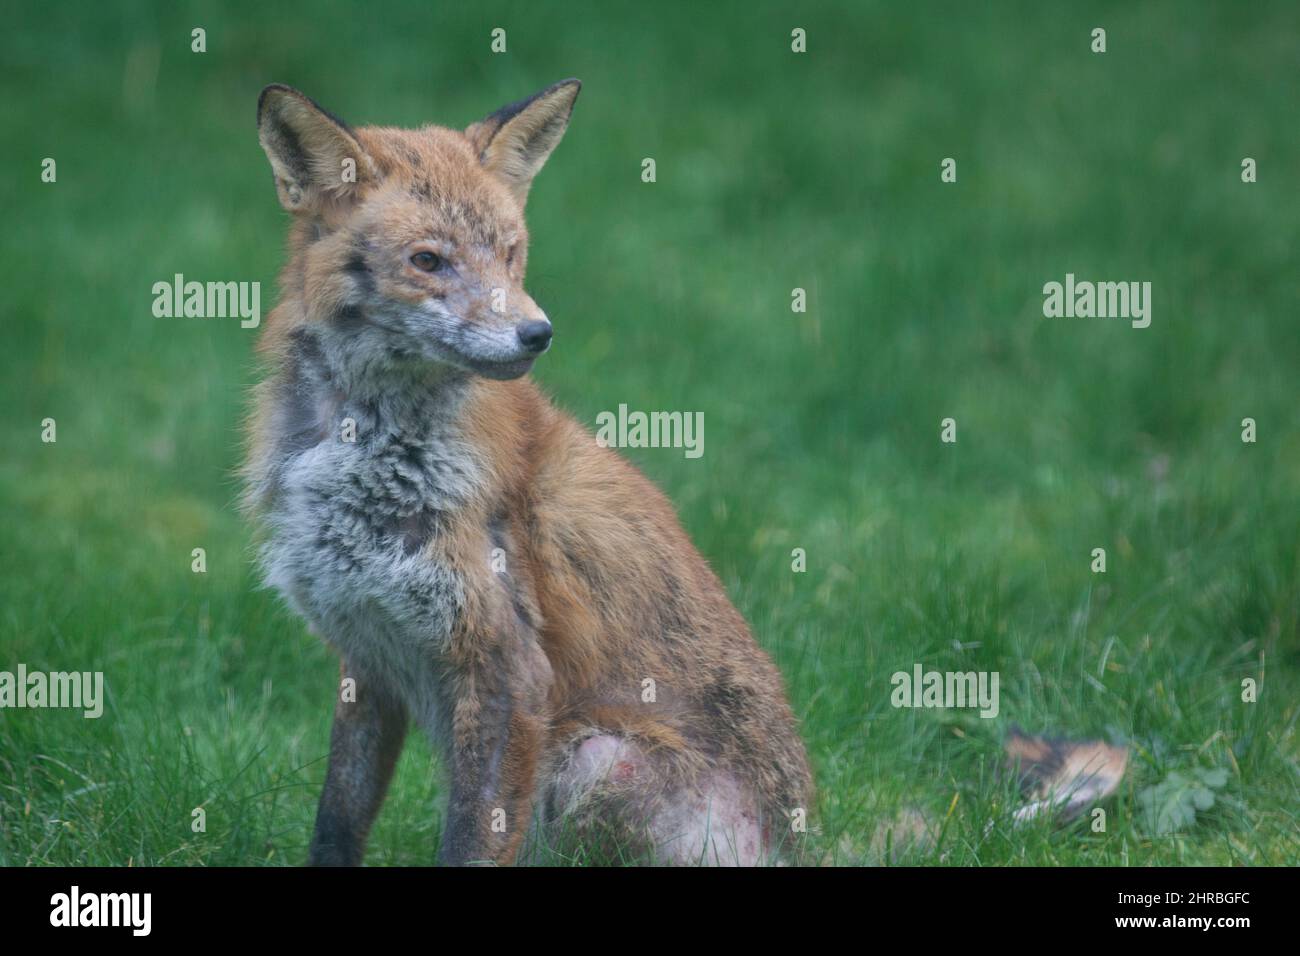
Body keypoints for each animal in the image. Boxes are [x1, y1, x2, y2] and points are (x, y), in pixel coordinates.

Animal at [242, 79, 813, 866]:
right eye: (428, 261)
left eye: (511, 253)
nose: (537, 334)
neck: (361, 450)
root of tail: (806, 845)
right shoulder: (367, 658)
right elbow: (337, 821)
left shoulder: (508, 673)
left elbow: (470, 840)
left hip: (594, 758)